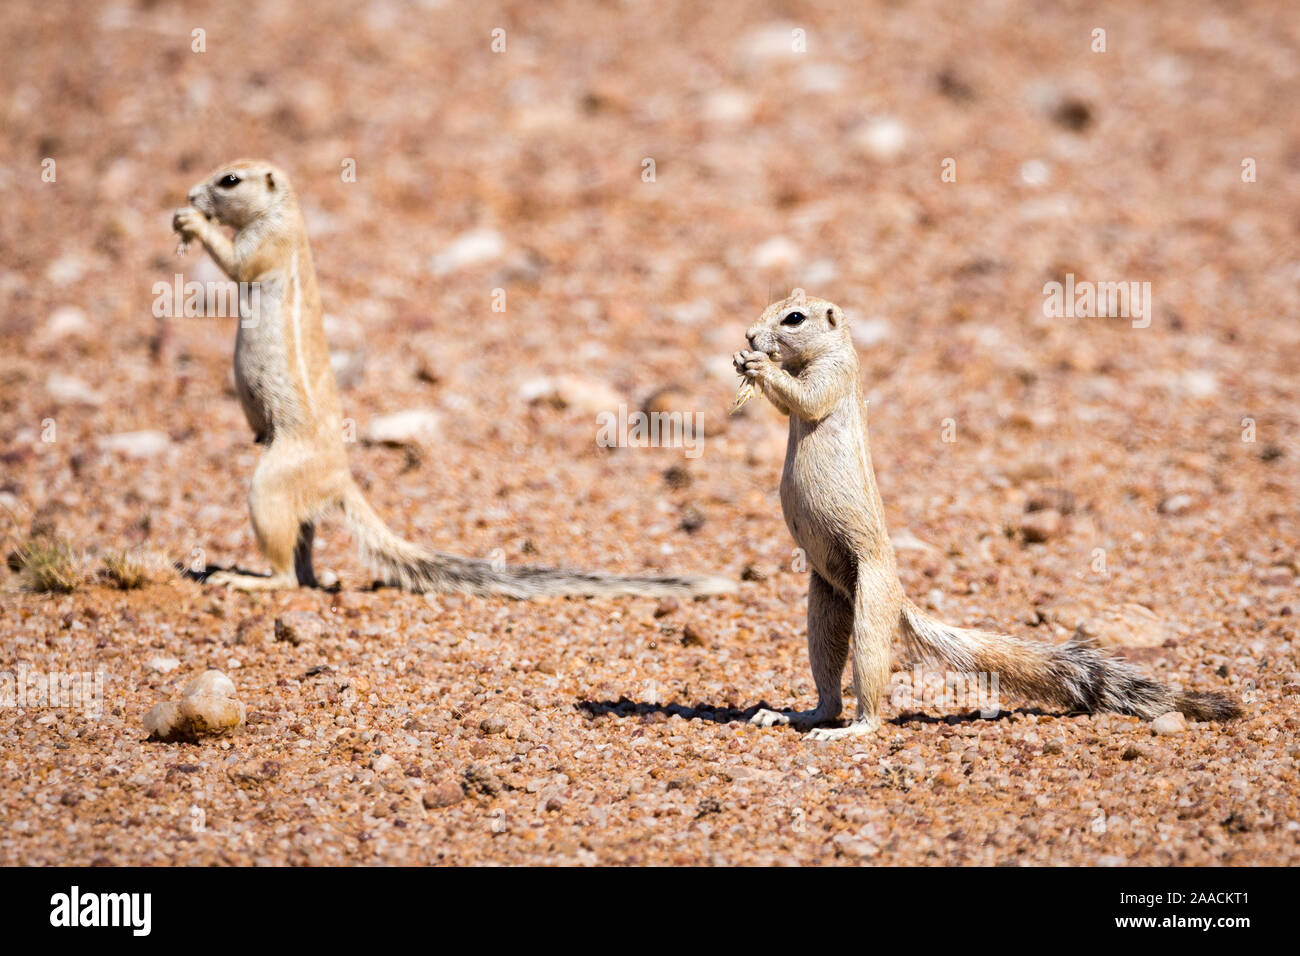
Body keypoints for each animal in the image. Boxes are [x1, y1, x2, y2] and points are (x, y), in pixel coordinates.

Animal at [171, 159, 733, 599]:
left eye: (229, 178)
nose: (190, 194)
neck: (285, 212)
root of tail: (341, 478)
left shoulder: (266, 245)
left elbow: (237, 265)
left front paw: (192, 223)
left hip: (269, 486)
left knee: (288, 574)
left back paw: (246, 579)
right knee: (304, 558)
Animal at [733, 290, 1241, 740]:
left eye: (794, 318)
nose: (750, 335)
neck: (823, 352)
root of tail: (900, 599)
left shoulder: (835, 374)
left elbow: (807, 397)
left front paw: (759, 366)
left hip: (871, 603)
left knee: (869, 679)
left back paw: (853, 730)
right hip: (824, 603)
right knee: (827, 687)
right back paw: (794, 715)